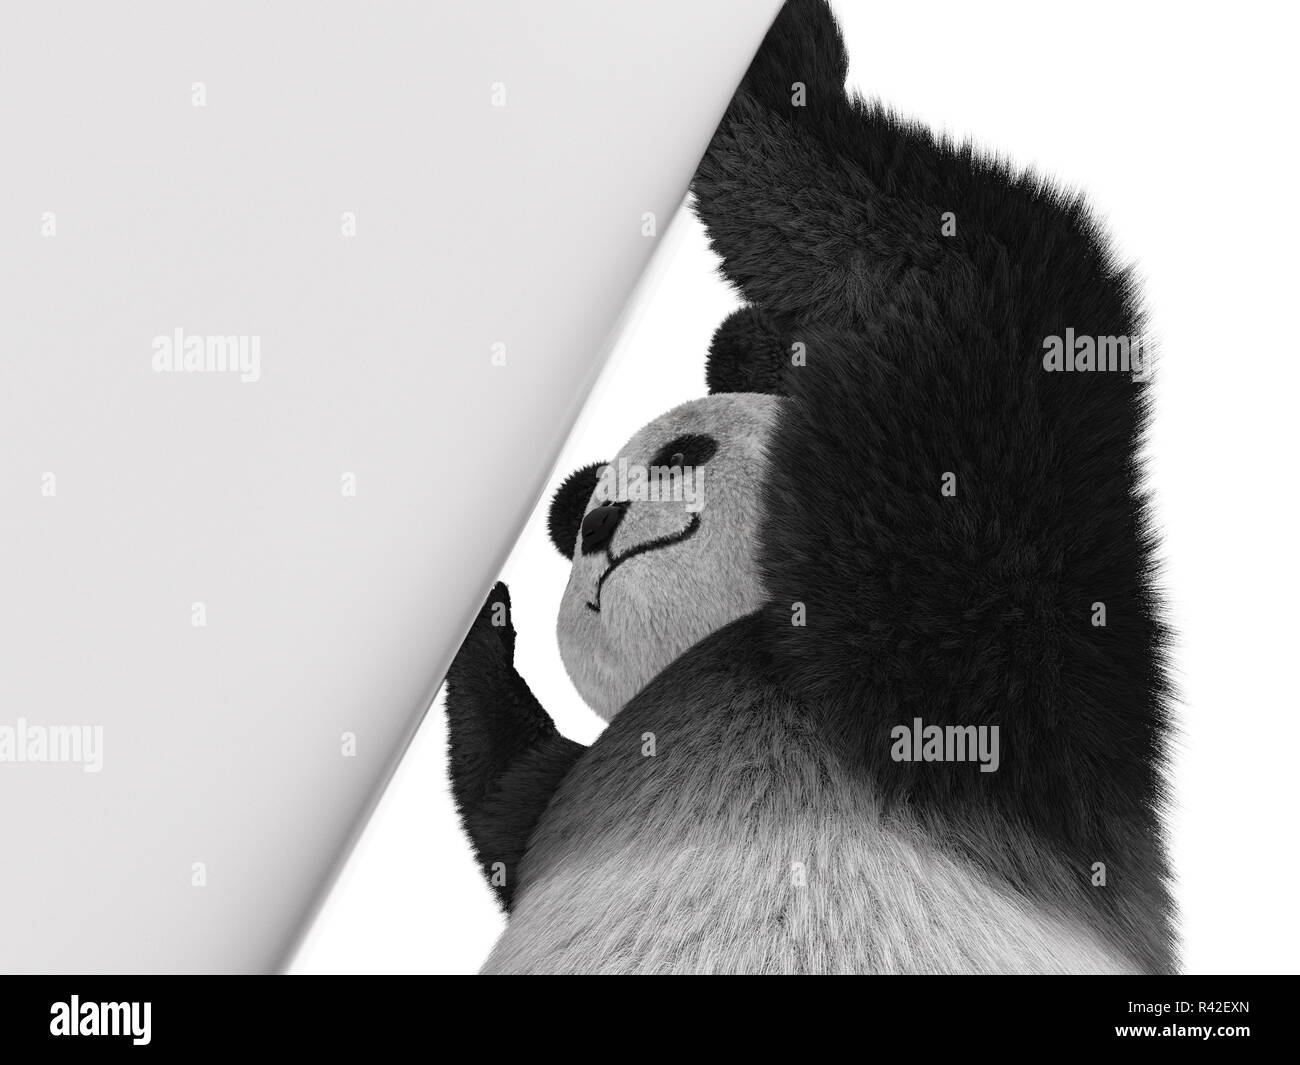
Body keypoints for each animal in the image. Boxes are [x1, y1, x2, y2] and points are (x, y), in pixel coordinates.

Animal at [443, 0, 1177, 975]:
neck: (745, 637)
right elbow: (510, 796)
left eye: (682, 452)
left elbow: (959, 270)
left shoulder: (978, 668)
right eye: (583, 515)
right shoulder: (573, 791)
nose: (600, 526)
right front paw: (481, 628)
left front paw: (788, 59)